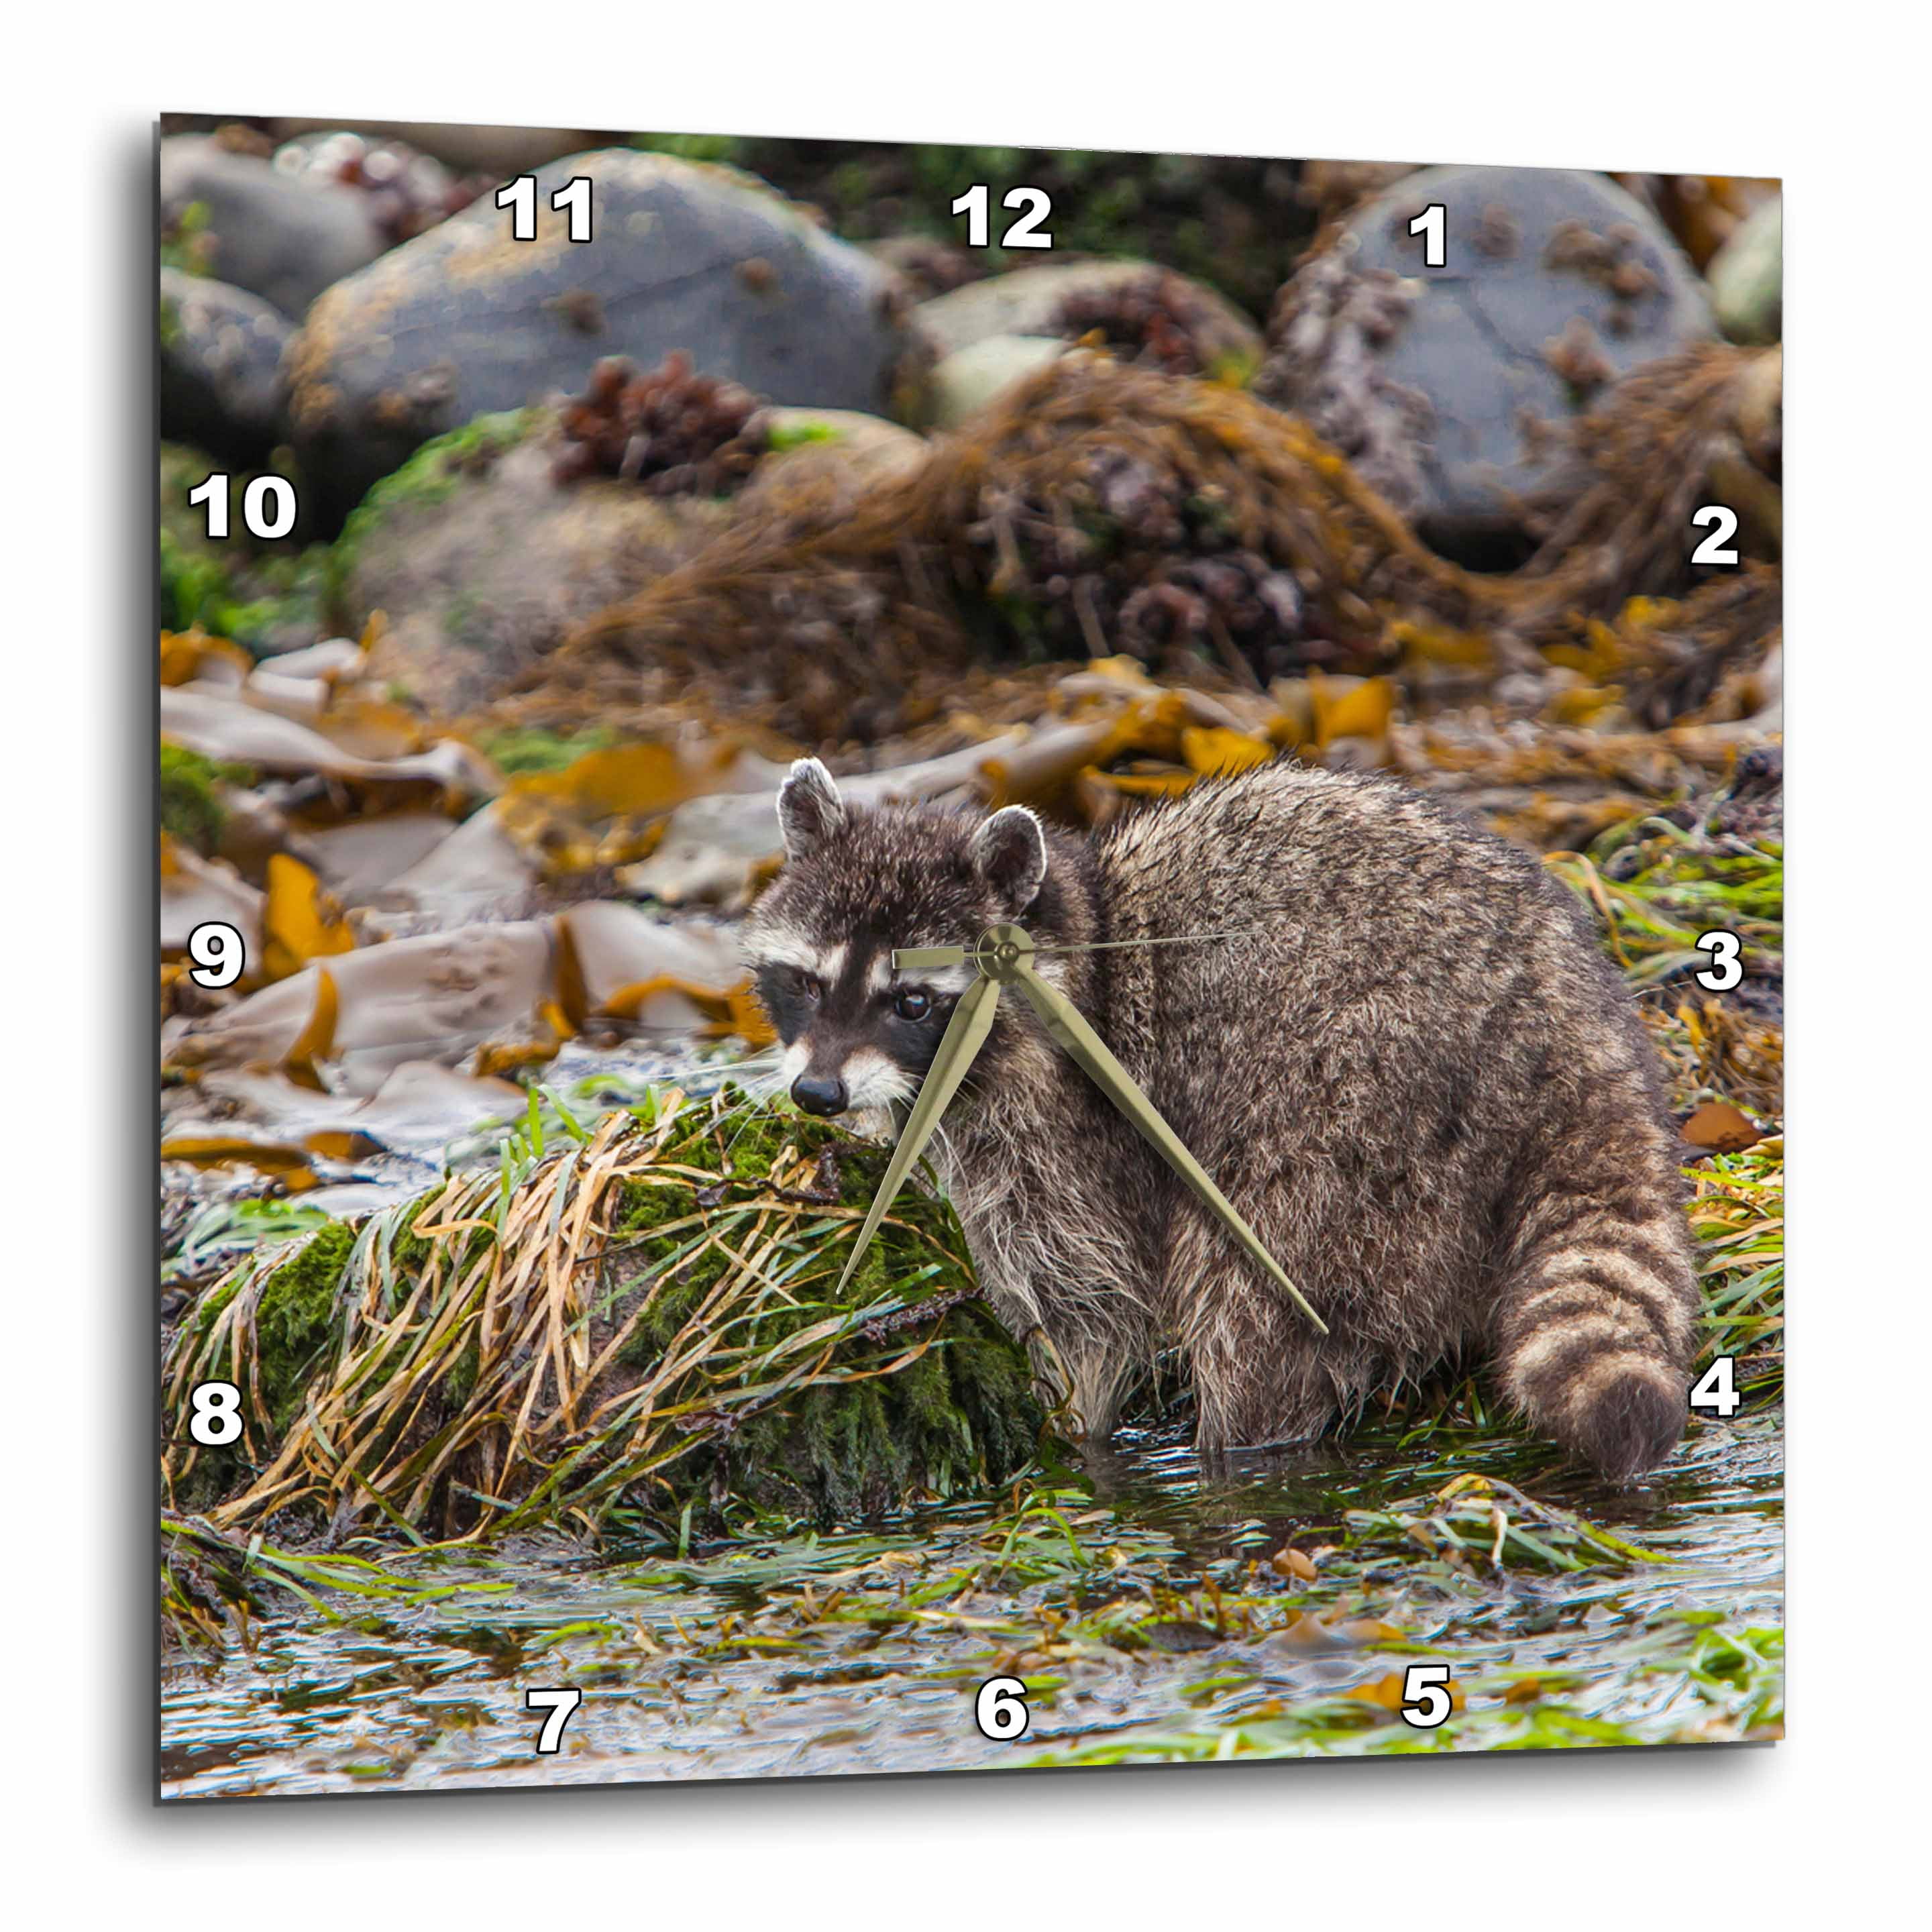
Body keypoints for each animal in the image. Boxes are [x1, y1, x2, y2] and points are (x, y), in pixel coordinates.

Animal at [742, 755, 1701, 1480]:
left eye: (912, 1002)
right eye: (807, 984)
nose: (818, 1095)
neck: (1082, 942)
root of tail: (1567, 1023)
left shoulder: (1071, 1126)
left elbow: (1087, 1300)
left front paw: (1074, 1430)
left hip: (1352, 1095)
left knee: (1259, 1293)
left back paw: (1241, 1445)